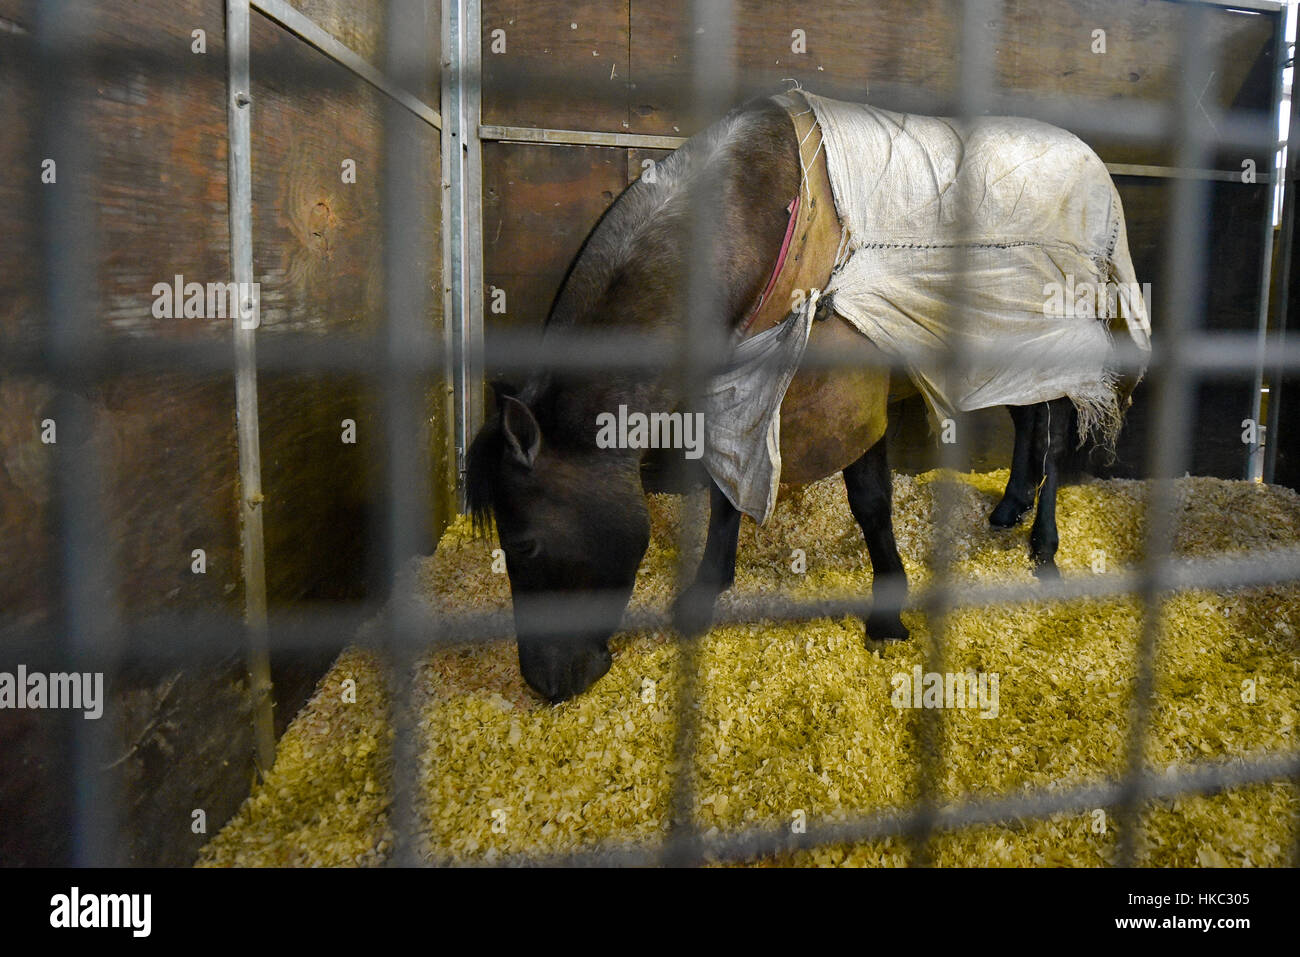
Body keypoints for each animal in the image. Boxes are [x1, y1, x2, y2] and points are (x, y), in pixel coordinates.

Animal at [467, 91, 1130, 703]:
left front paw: (888, 614)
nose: (546, 683)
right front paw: (707, 590)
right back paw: (1011, 506)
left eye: (522, 543)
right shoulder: (739, 397)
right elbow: (726, 497)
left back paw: (1044, 545)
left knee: (1056, 434)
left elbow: (870, 502)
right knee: (1030, 422)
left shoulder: (849, 397)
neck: (752, 217)